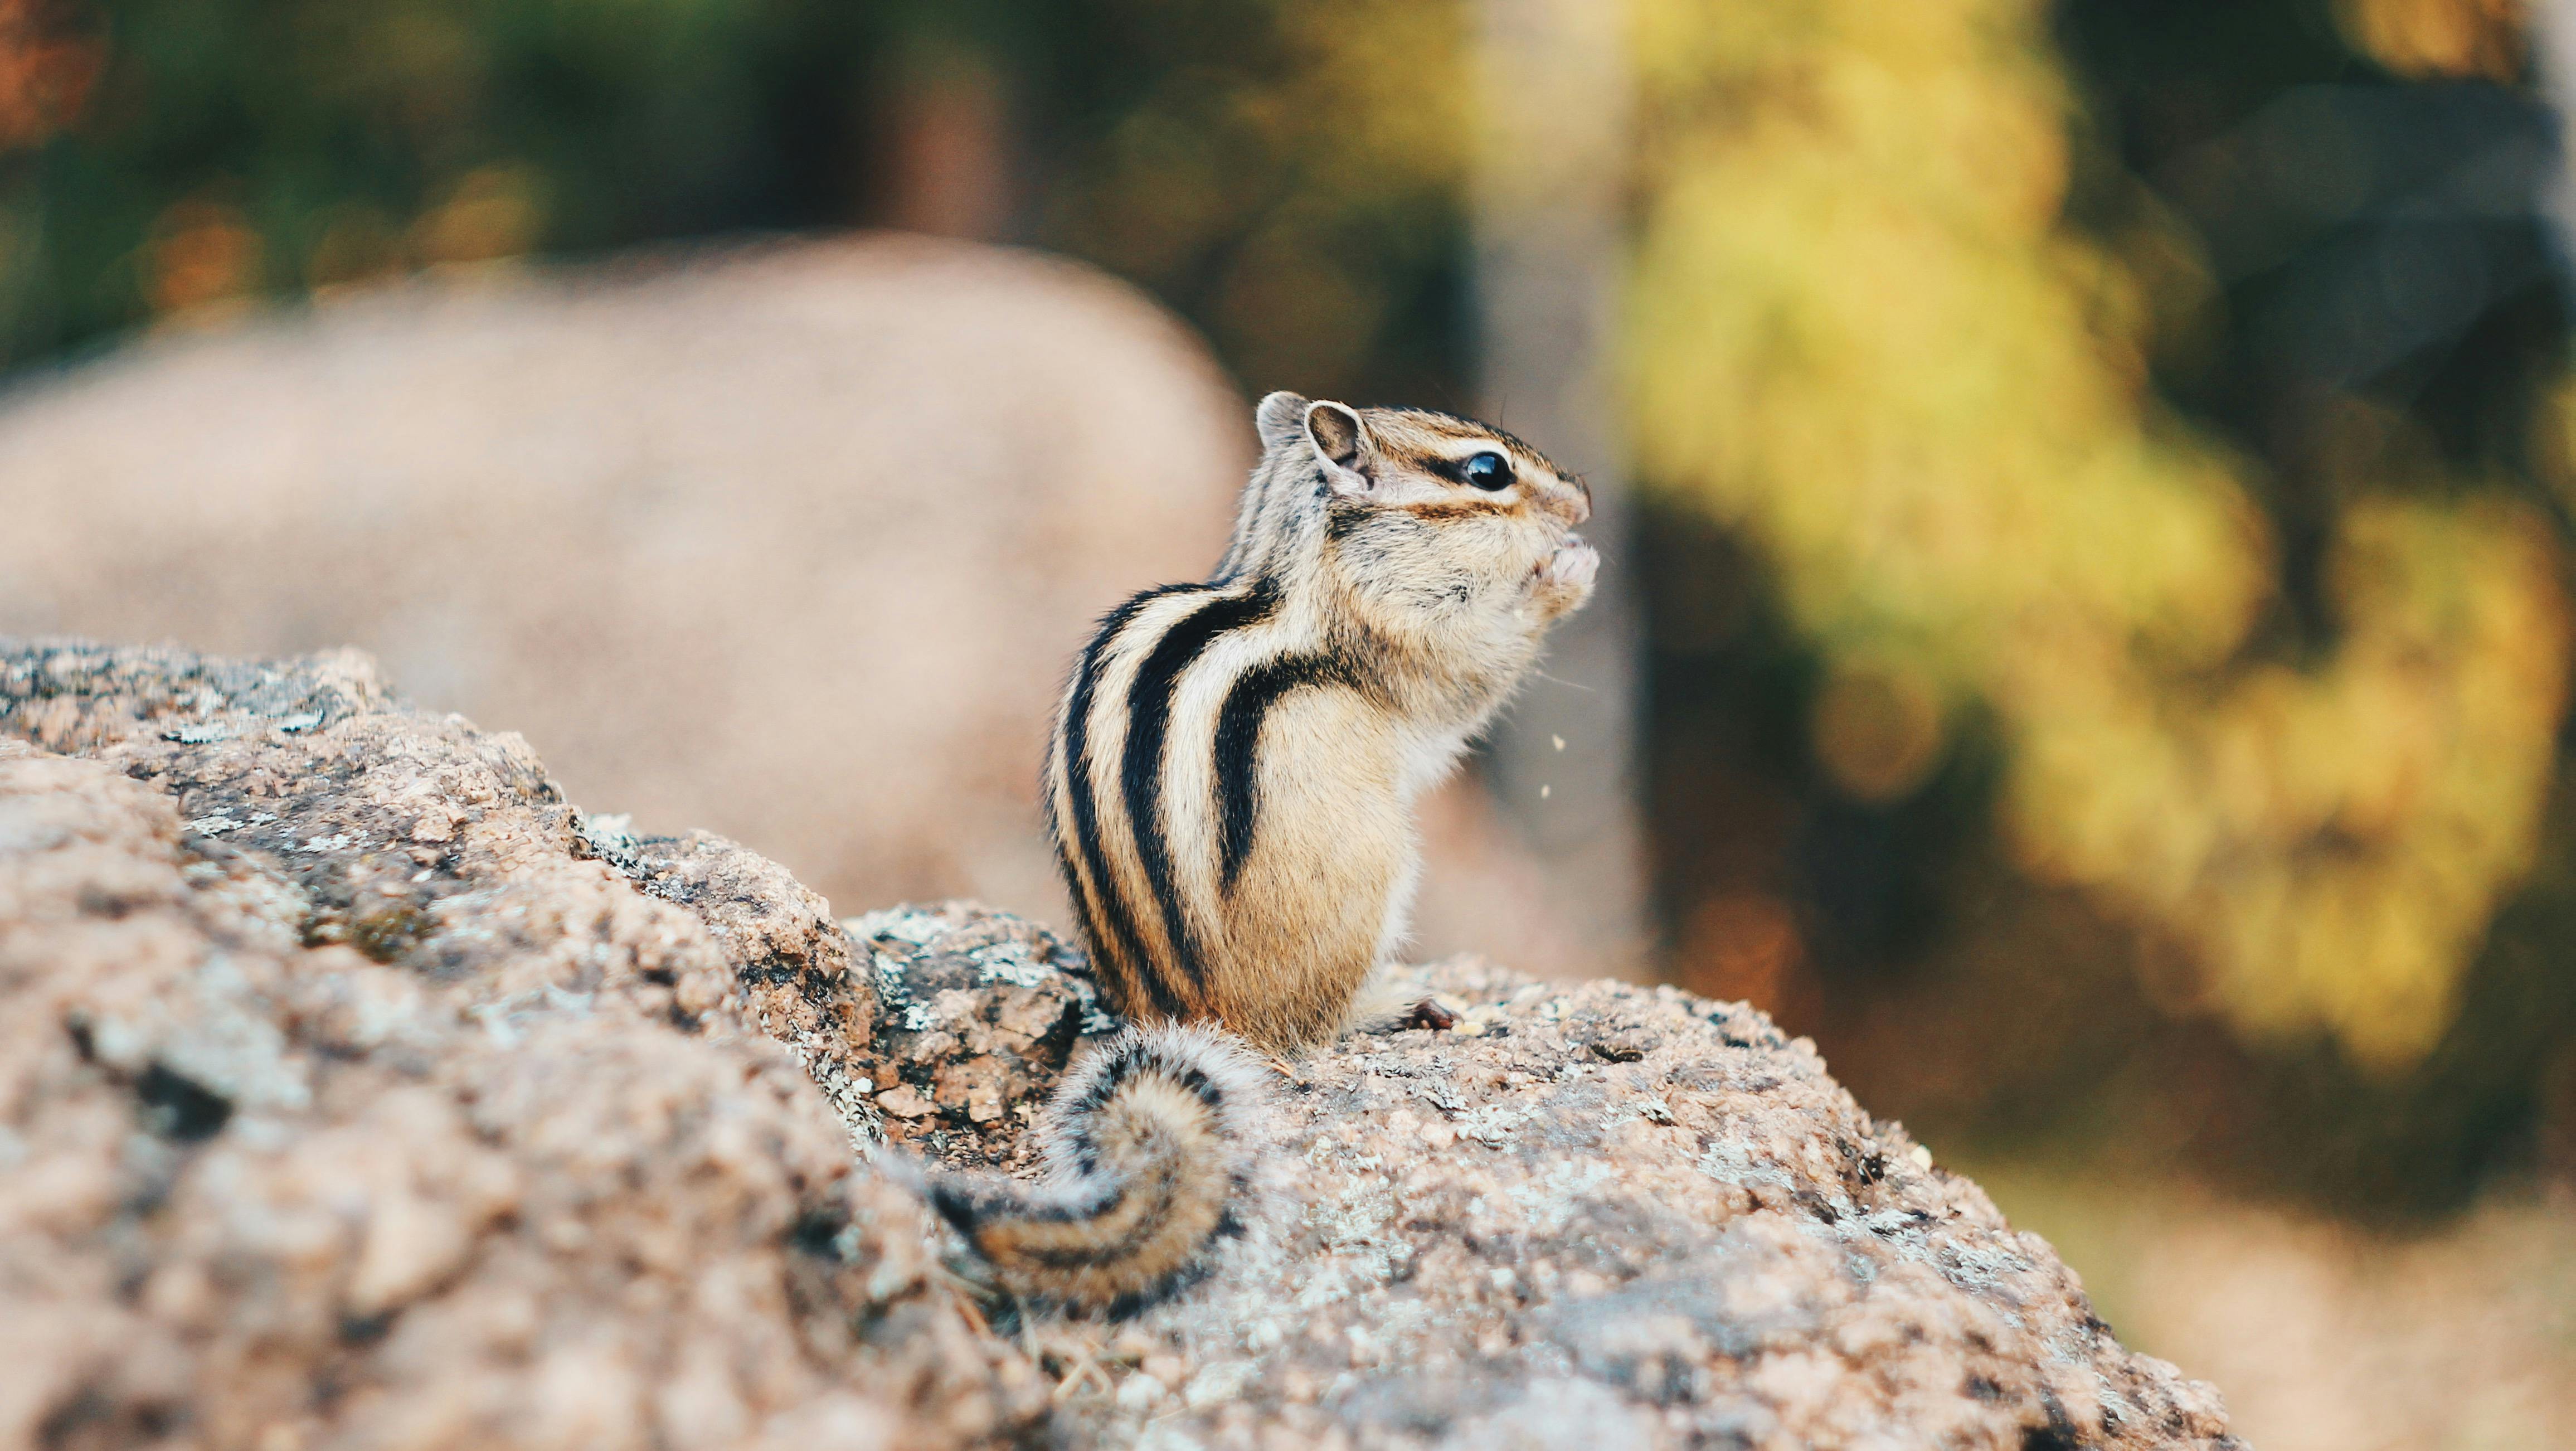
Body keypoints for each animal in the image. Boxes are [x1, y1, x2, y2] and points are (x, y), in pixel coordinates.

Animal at [926, 391, 1597, 1316]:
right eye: (1488, 470)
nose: (1586, 501)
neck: (1299, 569)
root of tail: (1192, 1016)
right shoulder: (1411, 637)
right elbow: (1473, 674)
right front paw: (1571, 569)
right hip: (1369, 879)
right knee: (1306, 1029)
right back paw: (1393, 1001)